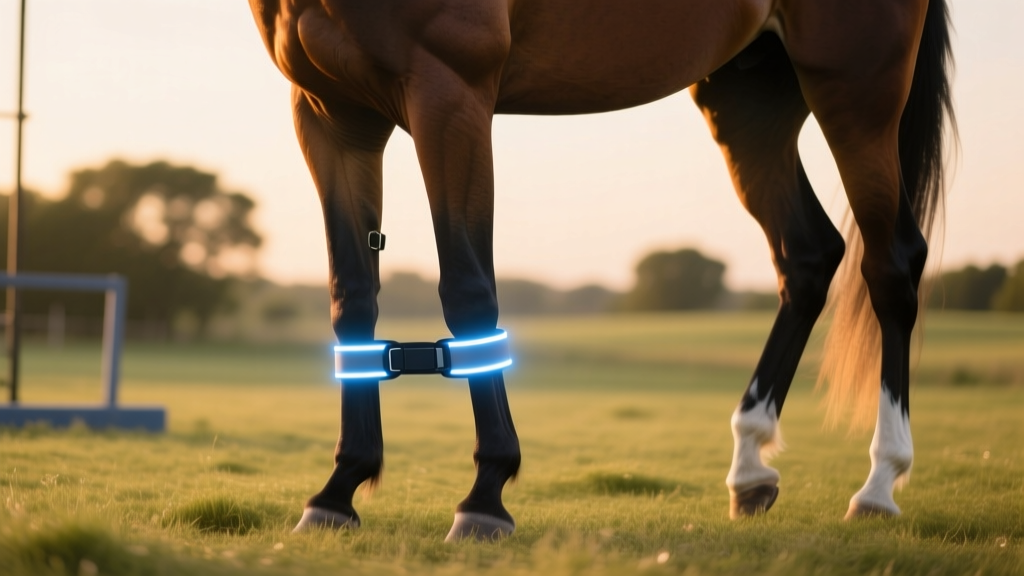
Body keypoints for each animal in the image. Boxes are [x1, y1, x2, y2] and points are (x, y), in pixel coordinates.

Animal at [247, 0, 955, 540]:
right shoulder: (330, 113)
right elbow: (351, 296)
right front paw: (337, 490)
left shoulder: (449, 93)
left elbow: (470, 289)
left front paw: (485, 495)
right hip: (748, 98)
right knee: (808, 255)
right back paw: (751, 466)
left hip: (854, 90)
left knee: (890, 266)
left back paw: (879, 486)